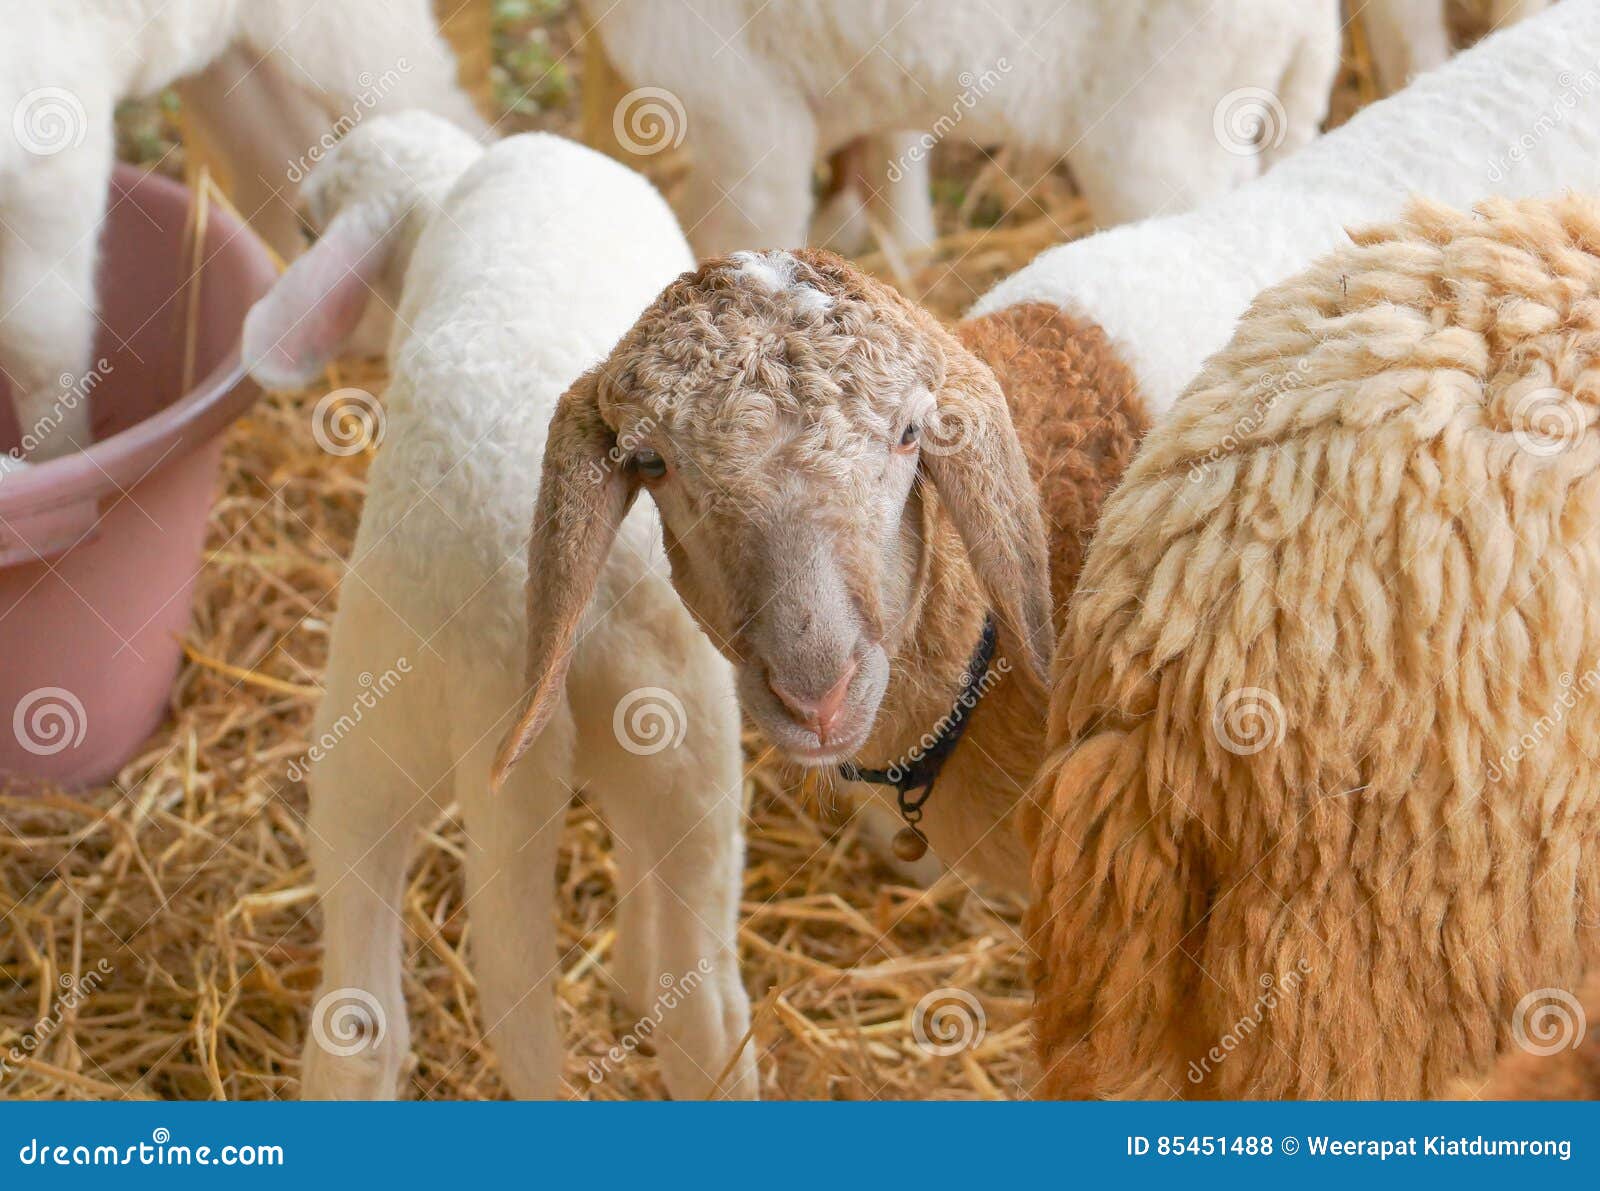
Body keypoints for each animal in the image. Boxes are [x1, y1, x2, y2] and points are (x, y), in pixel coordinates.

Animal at [0, 0, 482, 469]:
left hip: (342, 34)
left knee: (443, 111)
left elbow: (40, 347)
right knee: (277, 159)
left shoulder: (57, 155)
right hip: (233, 65)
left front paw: (60, 456)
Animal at [239, 112, 755, 1101]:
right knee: (706, 1013)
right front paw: (630, 968)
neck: (441, 187)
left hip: (366, 736)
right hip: (683, 734)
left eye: (304, 221)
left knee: (363, 1019)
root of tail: (513, 622)